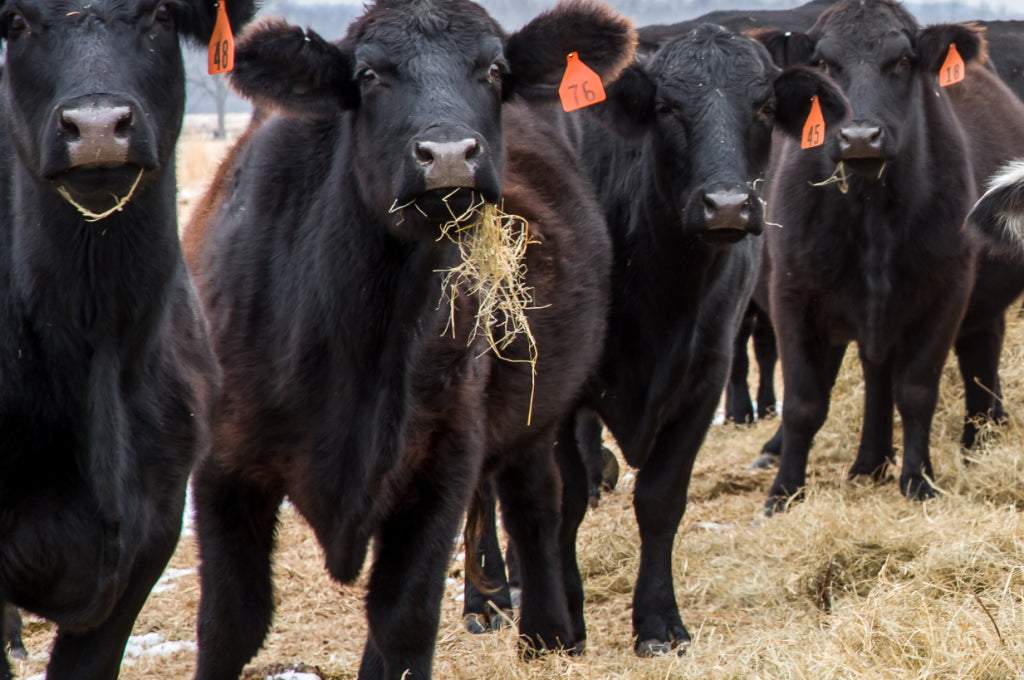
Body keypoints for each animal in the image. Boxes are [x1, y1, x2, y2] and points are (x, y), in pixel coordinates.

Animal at [183, 1, 635, 677]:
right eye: (369, 75)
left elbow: (405, 620)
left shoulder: (443, 460)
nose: (448, 154)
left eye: (494, 69)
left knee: (535, 505)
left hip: (535, 417)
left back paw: (550, 635)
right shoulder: (226, 465)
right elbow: (230, 622)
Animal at [752, 0, 1024, 511]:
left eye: (902, 61)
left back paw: (975, 442)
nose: (860, 136)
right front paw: (783, 493)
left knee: (976, 360)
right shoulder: (791, 295)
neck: (870, 209)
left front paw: (919, 480)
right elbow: (803, 403)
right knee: (875, 374)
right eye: (824, 64)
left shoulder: (947, 292)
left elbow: (916, 391)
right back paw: (869, 461)